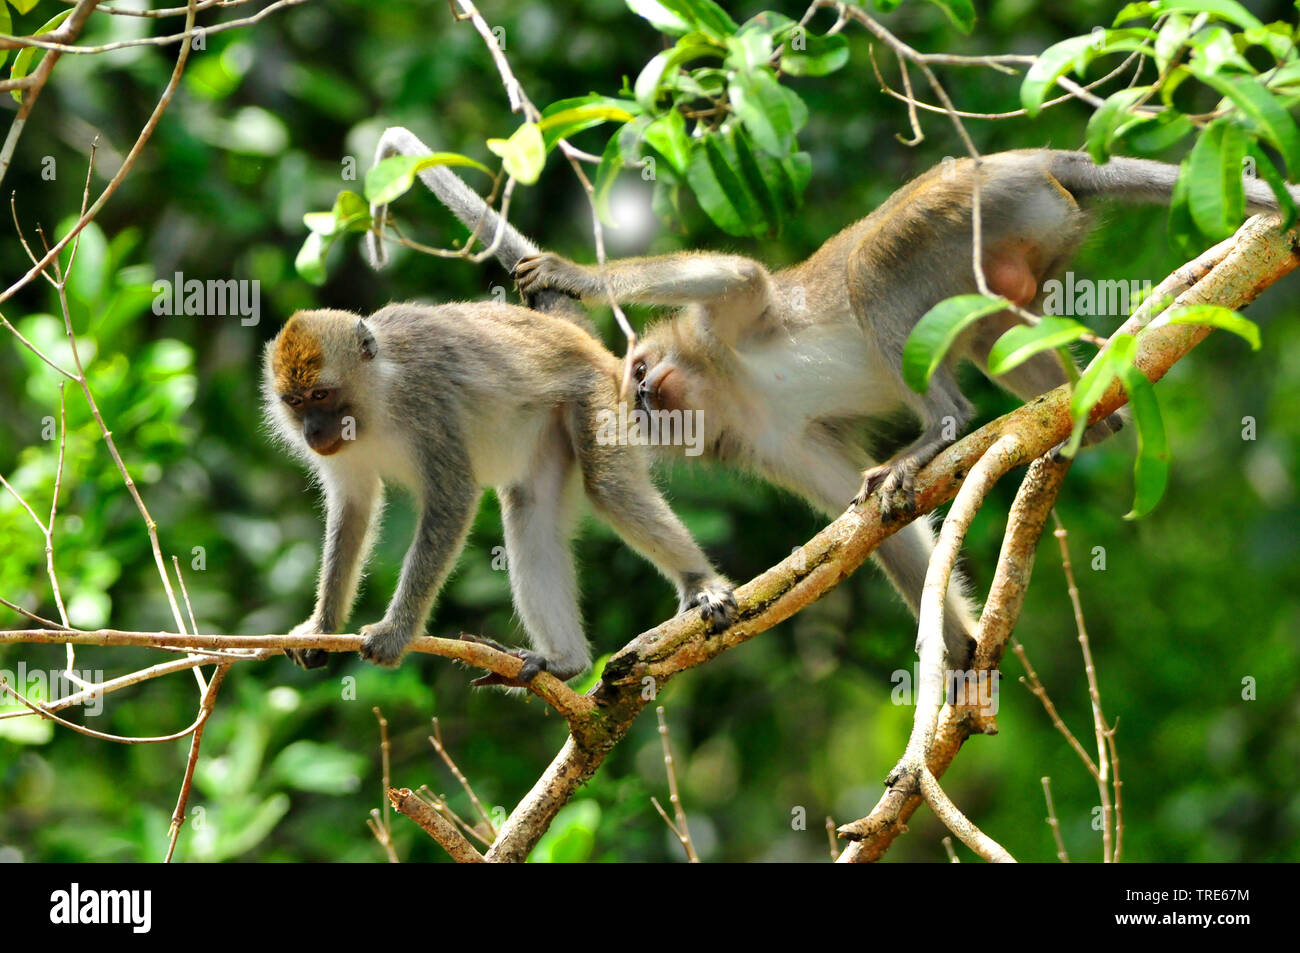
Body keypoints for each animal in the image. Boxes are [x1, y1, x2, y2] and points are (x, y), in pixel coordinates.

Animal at [263, 302, 735, 682]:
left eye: (321, 394)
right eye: (296, 402)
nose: (313, 432)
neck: (378, 393)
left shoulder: (426, 405)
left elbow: (453, 497)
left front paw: (396, 633)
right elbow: (353, 509)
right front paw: (322, 629)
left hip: (595, 396)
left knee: (610, 488)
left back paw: (701, 582)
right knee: (532, 516)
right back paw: (565, 662)